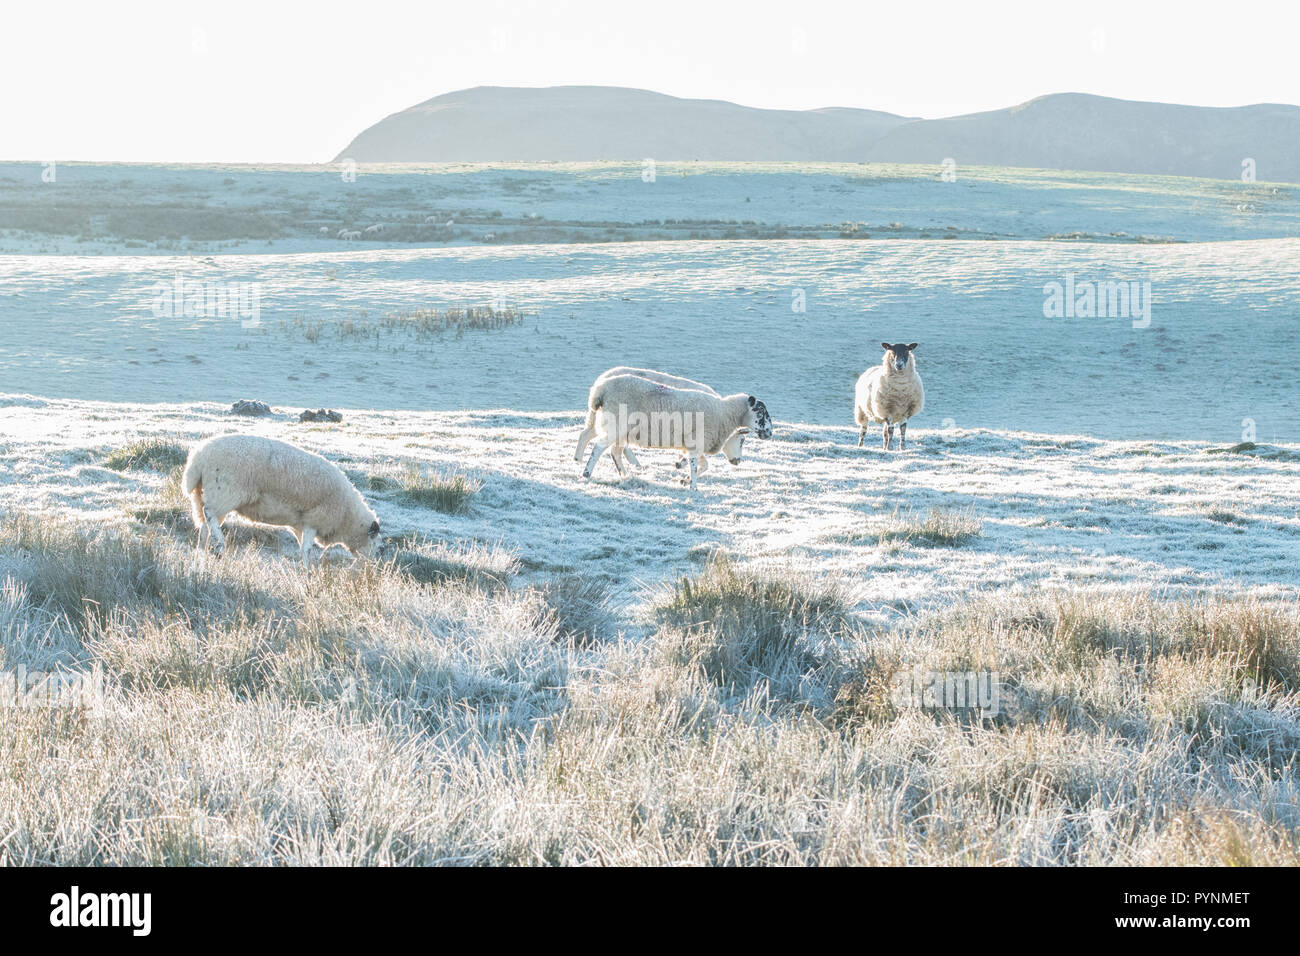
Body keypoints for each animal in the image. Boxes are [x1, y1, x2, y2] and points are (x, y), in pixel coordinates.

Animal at [182, 434, 383, 564]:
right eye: (376, 545)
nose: (369, 568)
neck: (347, 516)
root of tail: (198, 457)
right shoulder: (314, 520)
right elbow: (306, 550)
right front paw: (308, 572)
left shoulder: (300, 525)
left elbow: (302, 547)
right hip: (225, 492)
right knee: (210, 513)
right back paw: (220, 546)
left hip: (205, 494)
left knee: (205, 525)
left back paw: (202, 554)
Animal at [575, 366, 723, 475]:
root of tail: (599, 386)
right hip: (616, 422)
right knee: (609, 445)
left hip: (600, 418)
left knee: (586, 434)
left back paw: (578, 459)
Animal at [581, 375, 773, 489]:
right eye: (761, 411)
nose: (770, 433)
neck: (724, 413)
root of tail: (600, 390)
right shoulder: (697, 441)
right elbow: (695, 466)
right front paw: (693, 486)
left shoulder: (694, 443)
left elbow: (703, 465)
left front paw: (684, 478)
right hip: (615, 425)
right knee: (599, 446)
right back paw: (587, 473)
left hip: (622, 433)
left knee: (615, 452)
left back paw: (625, 475)